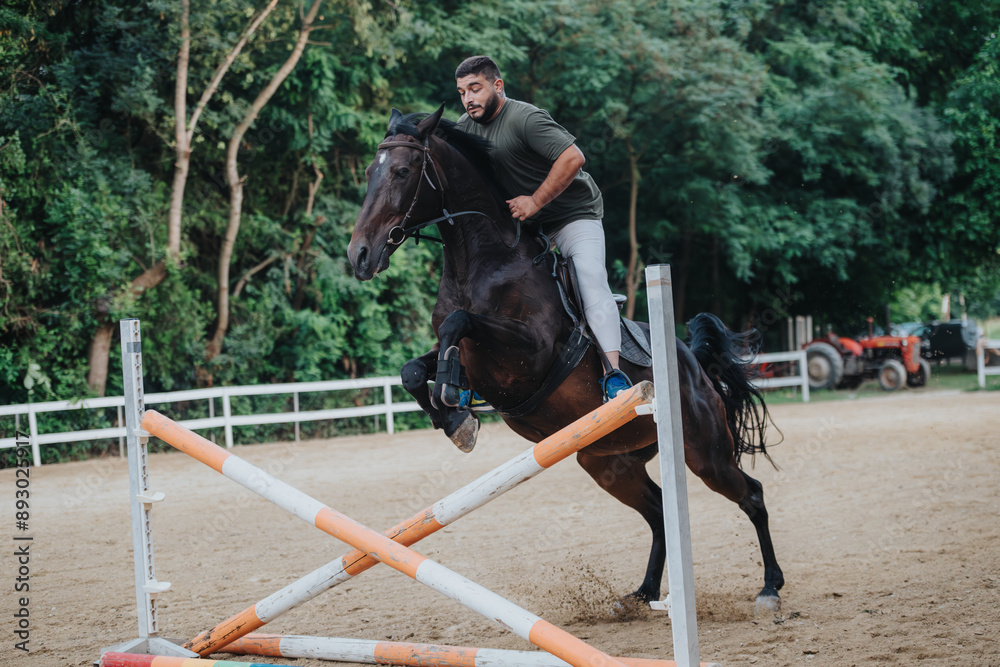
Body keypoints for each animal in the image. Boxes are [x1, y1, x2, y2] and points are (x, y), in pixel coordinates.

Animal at [347, 105, 784, 610]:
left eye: (402, 171)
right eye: (368, 172)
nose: (359, 256)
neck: (481, 261)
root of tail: (694, 366)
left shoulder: (528, 351)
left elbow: (459, 323)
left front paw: (455, 405)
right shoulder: (465, 354)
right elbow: (414, 368)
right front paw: (453, 418)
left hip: (703, 453)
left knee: (750, 495)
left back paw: (770, 586)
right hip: (607, 462)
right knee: (658, 510)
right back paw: (643, 593)